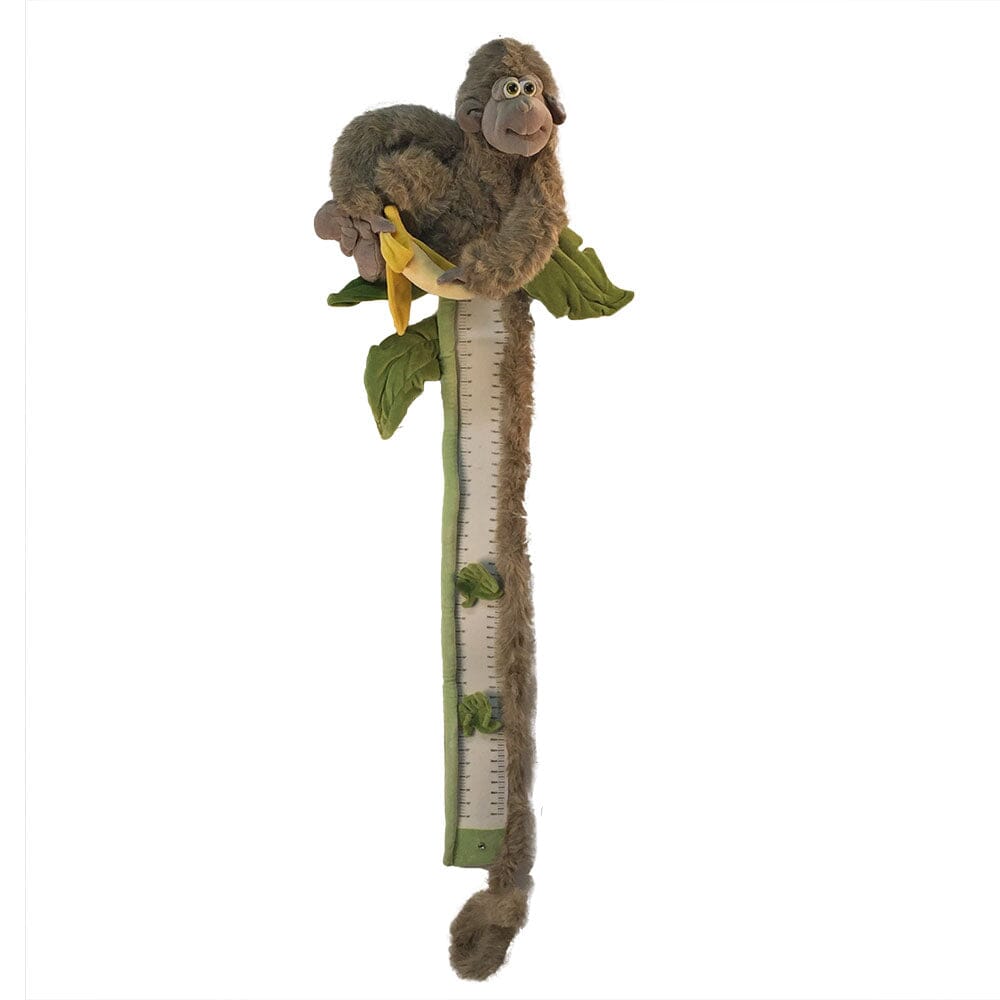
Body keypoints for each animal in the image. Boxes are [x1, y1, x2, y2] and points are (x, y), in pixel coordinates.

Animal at [314, 38, 568, 302]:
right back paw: (344, 230)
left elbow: (536, 220)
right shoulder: (449, 136)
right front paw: (365, 211)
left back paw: (361, 247)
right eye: (512, 89)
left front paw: (466, 275)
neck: (501, 158)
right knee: (413, 169)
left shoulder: (545, 171)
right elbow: (373, 126)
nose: (527, 104)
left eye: (530, 88)